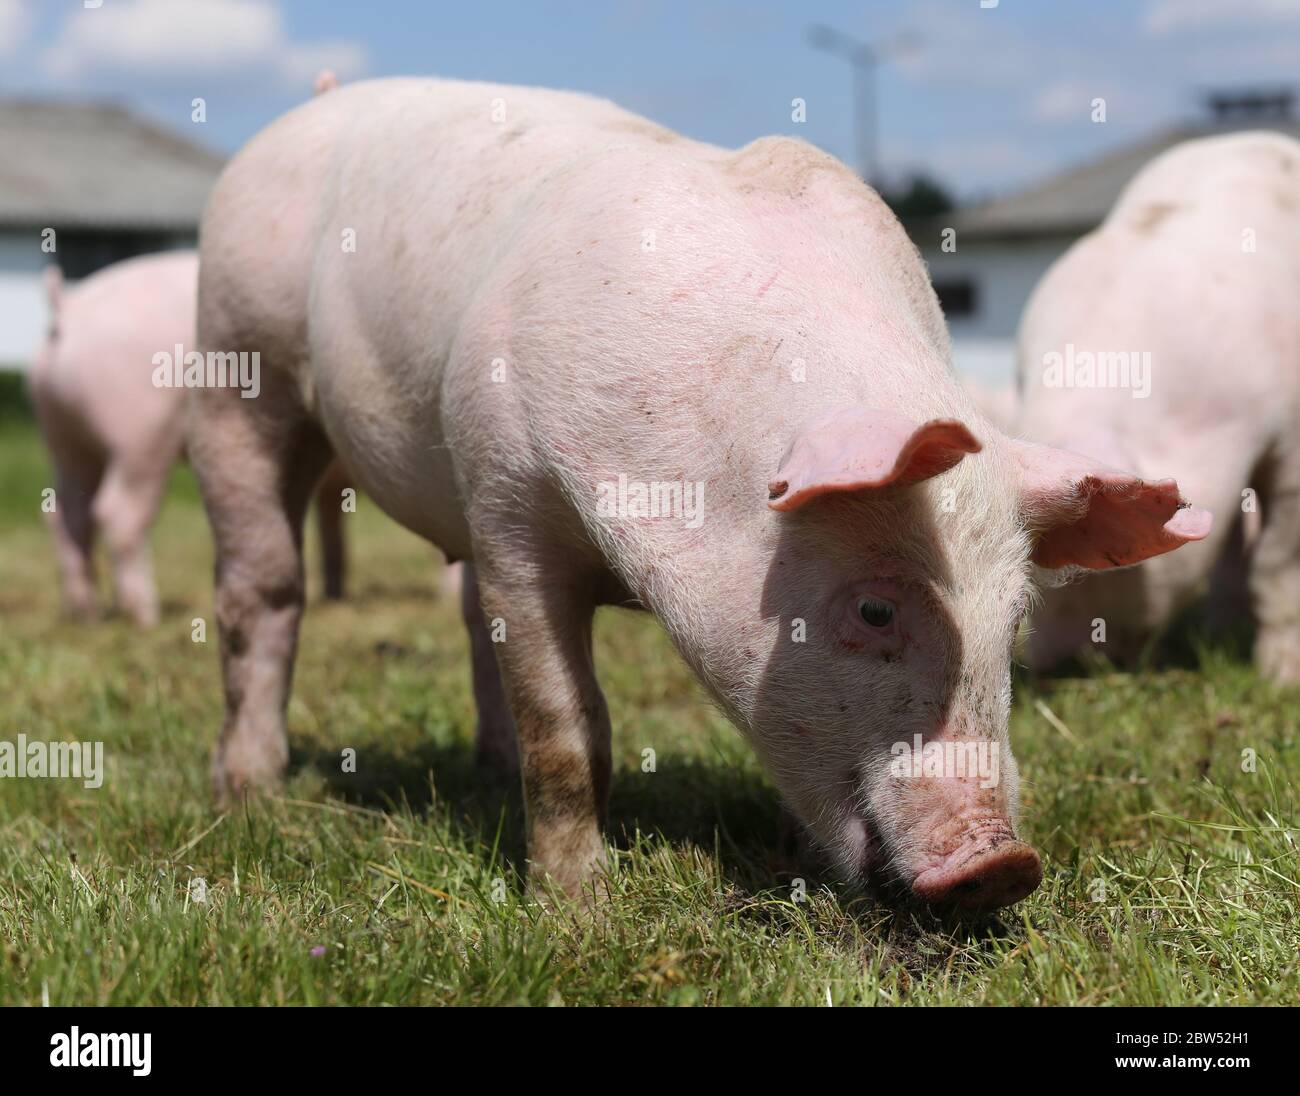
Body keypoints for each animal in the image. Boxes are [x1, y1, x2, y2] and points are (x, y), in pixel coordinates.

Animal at [28, 251, 351, 624]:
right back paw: (146, 616)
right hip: (140, 432)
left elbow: (332, 521)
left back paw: (87, 614)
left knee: (65, 513)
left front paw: (336, 594)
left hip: (63, 439)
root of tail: (67, 307)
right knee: (116, 510)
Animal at [189, 77, 1209, 909]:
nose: (1003, 864)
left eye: (1015, 618)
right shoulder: (513, 497)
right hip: (237, 365)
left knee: (472, 623)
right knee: (260, 588)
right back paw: (251, 792)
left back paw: (482, 772)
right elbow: (566, 729)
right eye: (875, 610)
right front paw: (577, 911)